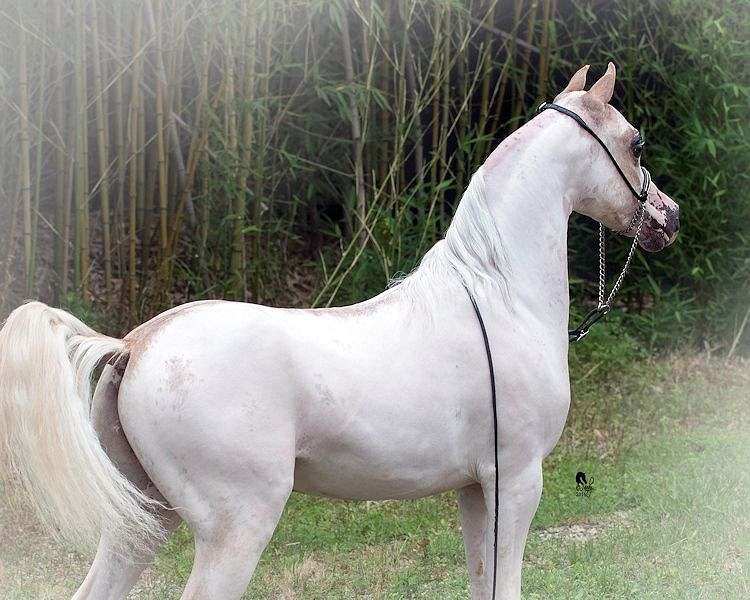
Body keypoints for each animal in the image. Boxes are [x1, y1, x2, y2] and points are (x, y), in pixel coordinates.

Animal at [0, 63, 679, 600]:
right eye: (636, 142)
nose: (667, 218)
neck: (498, 294)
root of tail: (134, 346)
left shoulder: (474, 488)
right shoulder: (516, 480)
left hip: (141, 521)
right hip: (236, 526)